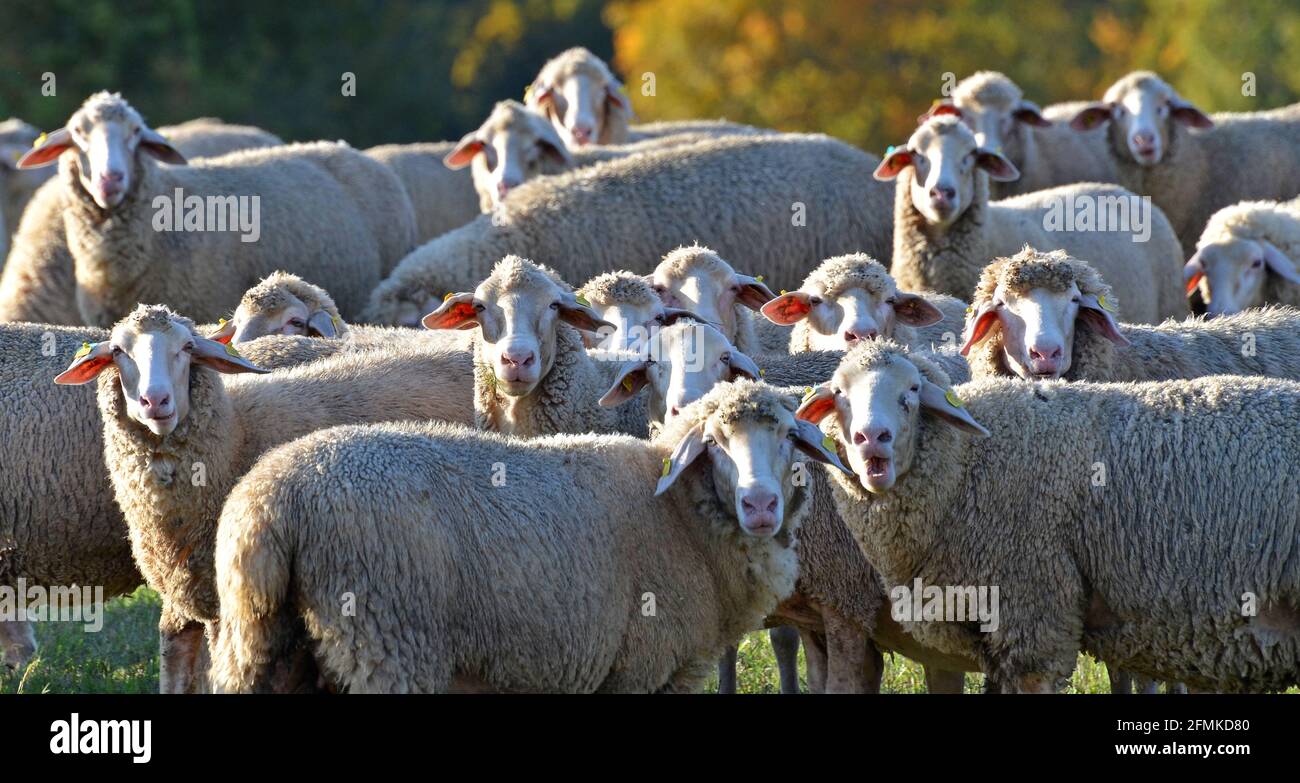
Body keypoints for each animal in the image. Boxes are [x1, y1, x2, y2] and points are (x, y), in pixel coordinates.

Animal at [53, 304, 475, 691]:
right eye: (118, 351)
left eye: (187, 347)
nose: (156, 402)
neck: (235, 433)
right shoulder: (189, 589)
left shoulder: (224, 601)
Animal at [209, 379, 851, 693]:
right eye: (715, 442)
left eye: (790, 437)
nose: (761, 504)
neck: (678, 515)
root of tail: (272, 501)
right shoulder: (641, 669)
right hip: (386, 639)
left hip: (259, 642)